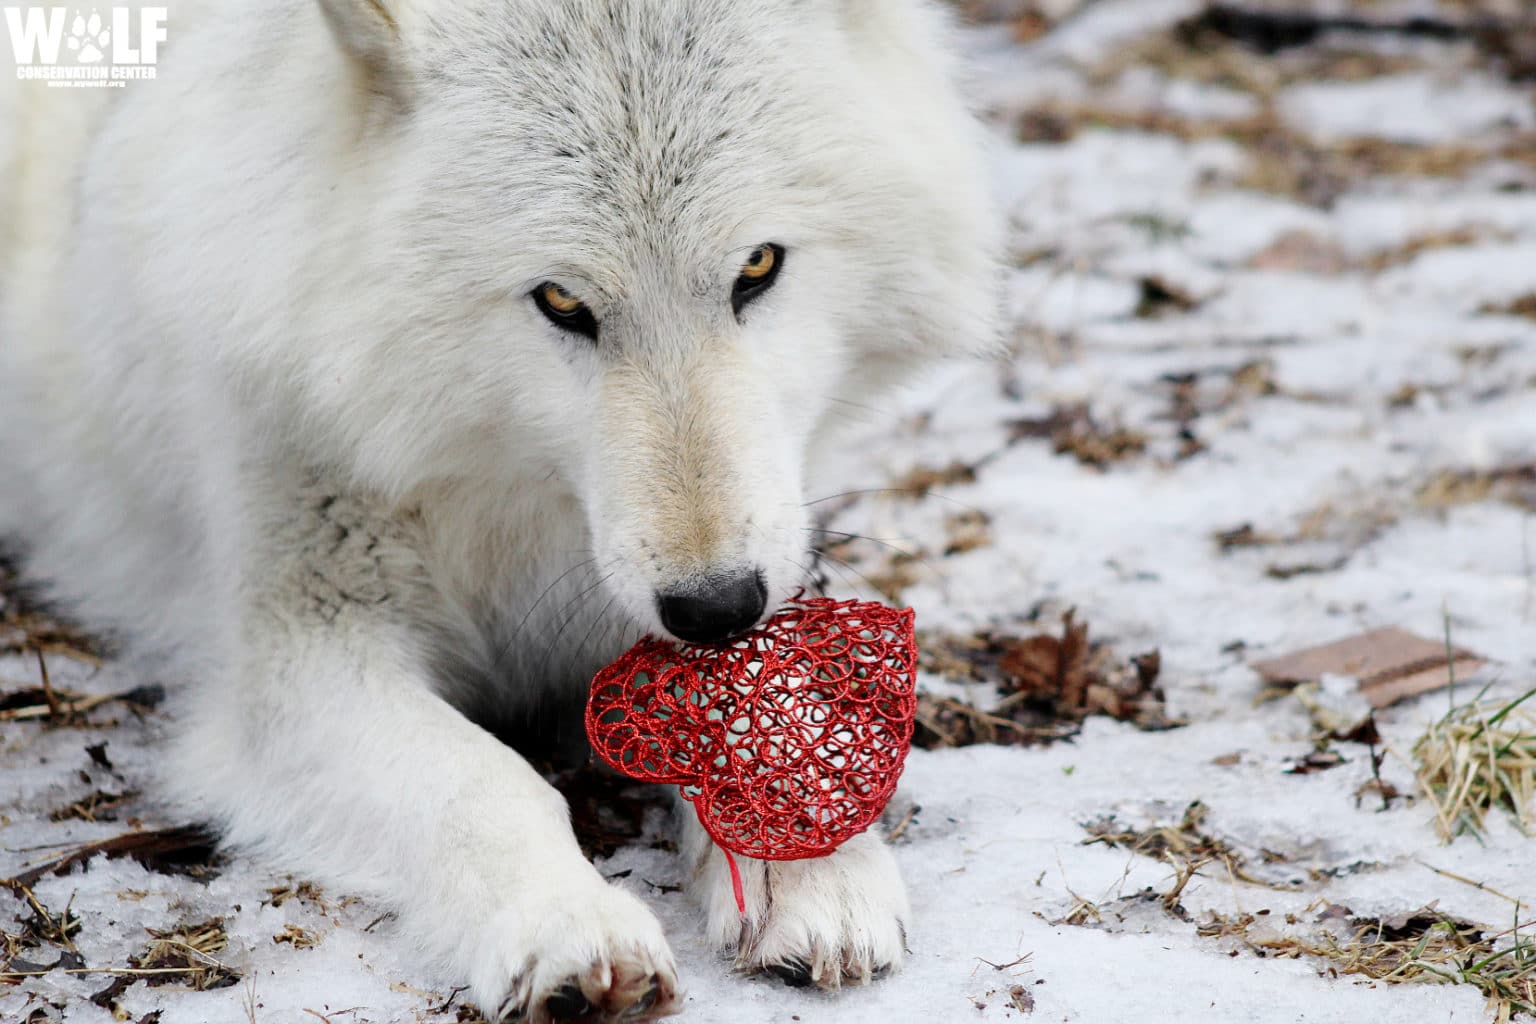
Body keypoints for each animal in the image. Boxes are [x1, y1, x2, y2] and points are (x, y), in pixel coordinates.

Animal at [0, 0, 998, 1018]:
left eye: (757, 265)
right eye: (561, 299)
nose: (715, 606)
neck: (493, 494)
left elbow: (758, 700)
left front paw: (809, 867)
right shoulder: (297, 653)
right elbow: (480, 782)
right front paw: (569, 927)